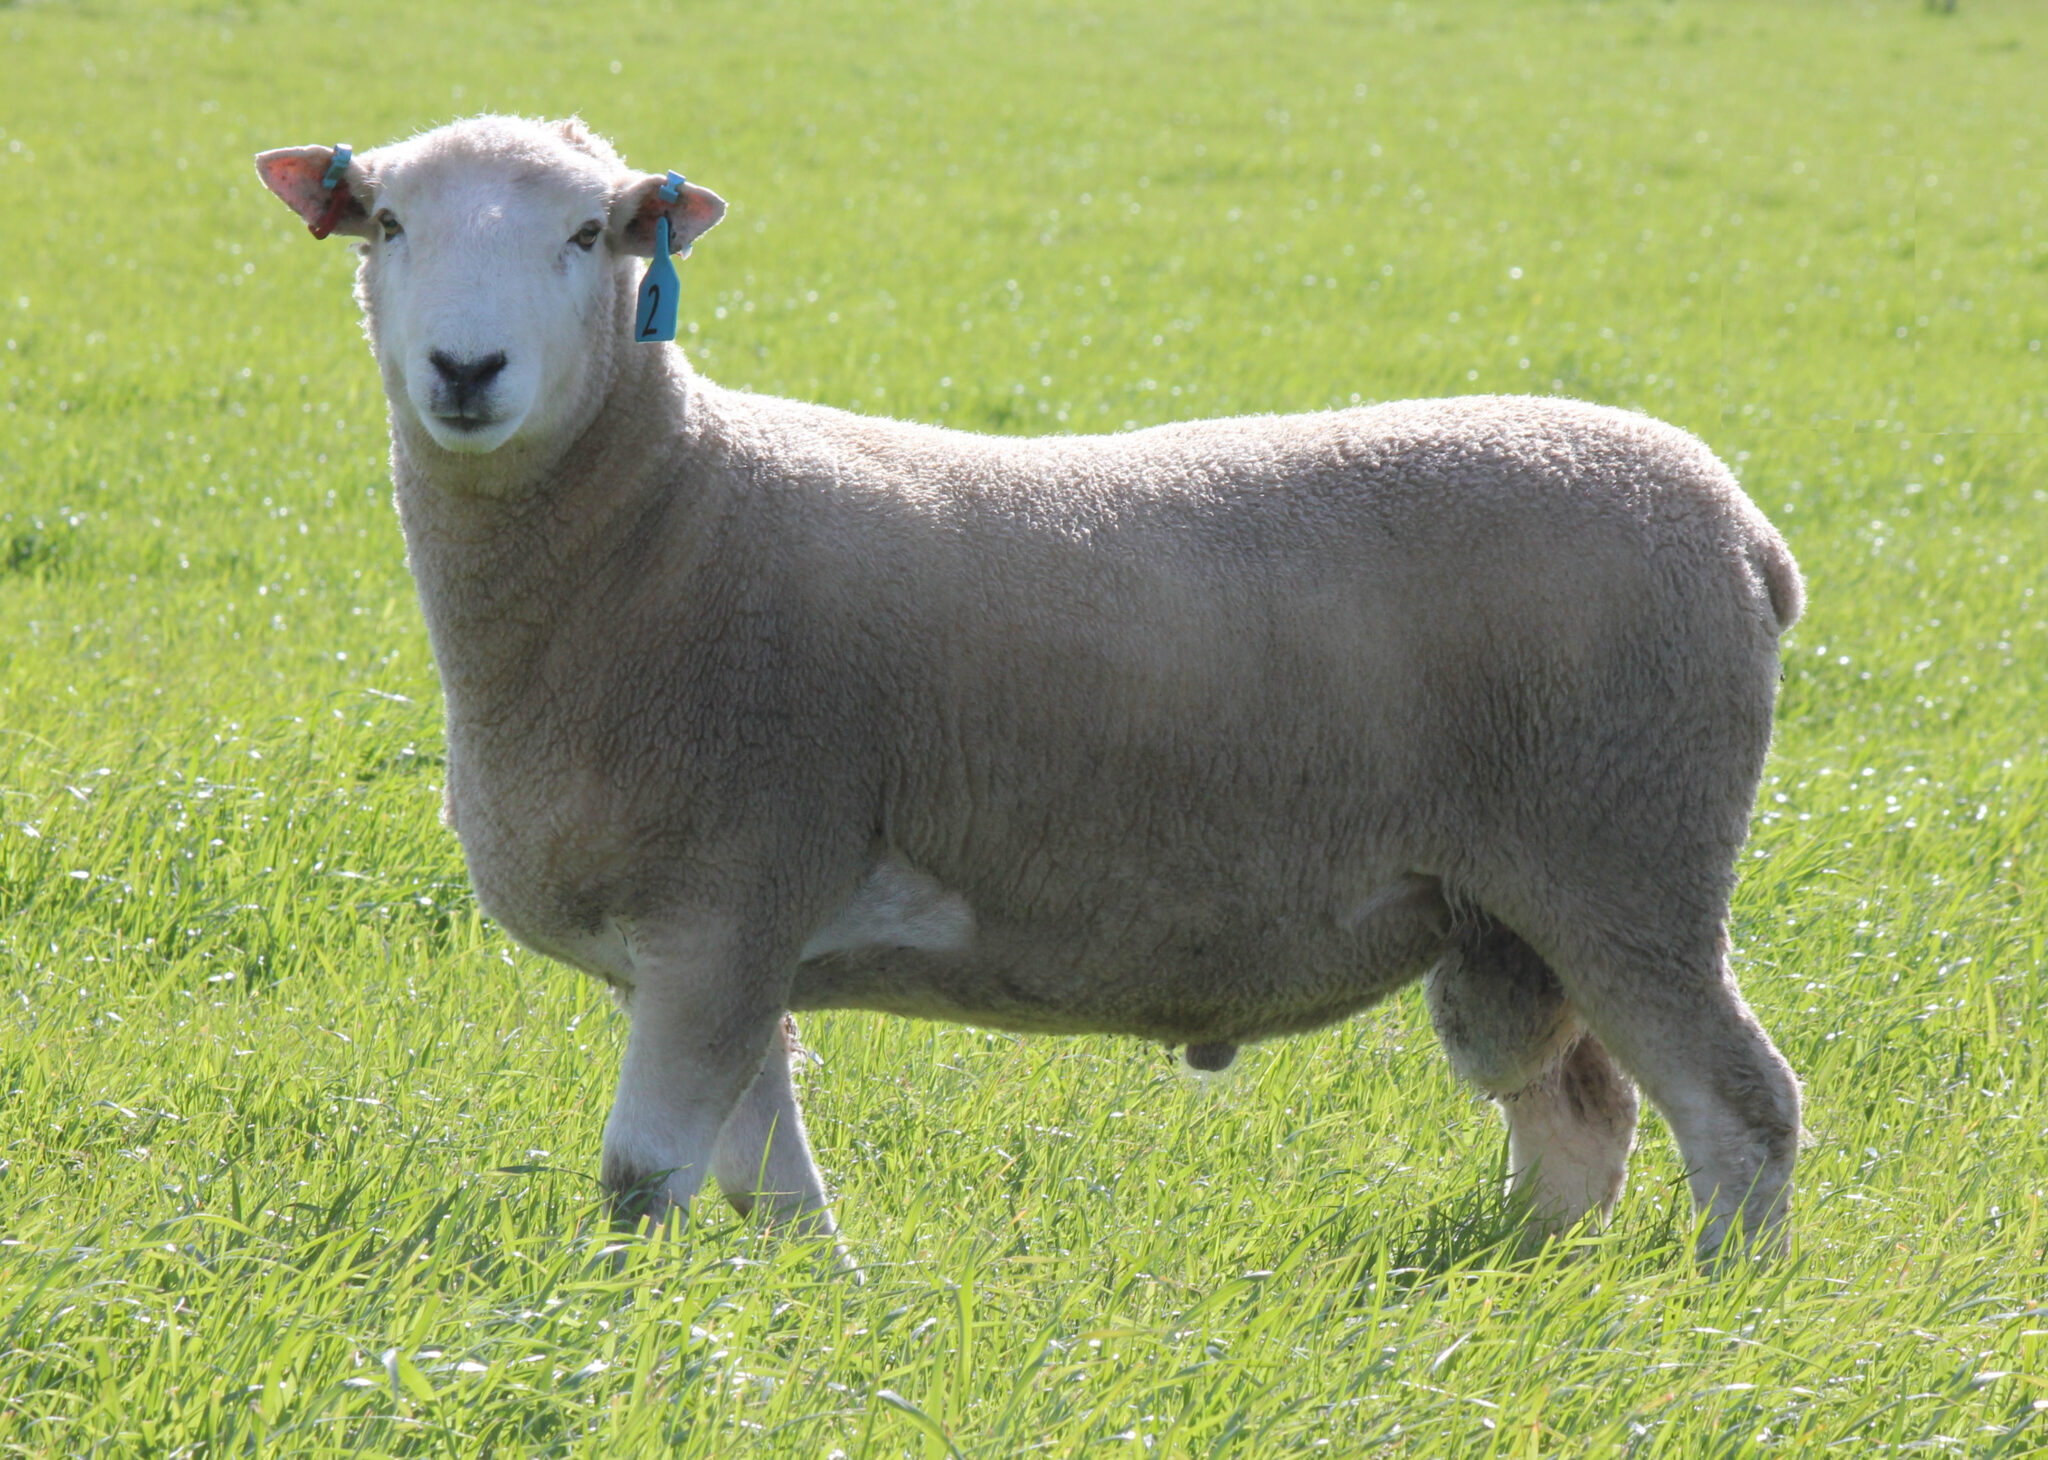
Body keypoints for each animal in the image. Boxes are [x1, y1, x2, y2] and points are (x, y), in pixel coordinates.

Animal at [255, 115, 1806, 1267]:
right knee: (1574, 1123)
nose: (466, 369)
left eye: (590, 235)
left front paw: (617, 1324)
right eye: (386, 224)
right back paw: (1514, 1291)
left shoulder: (728, 893)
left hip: (1630, 860)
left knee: (1743, 1107)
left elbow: (643, 1177)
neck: (664, 523)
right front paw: (810, 1308)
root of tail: (1742, 528)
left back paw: (1723, 1305)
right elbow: (768, 1183)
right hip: (1506, 916)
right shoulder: (721, 932)